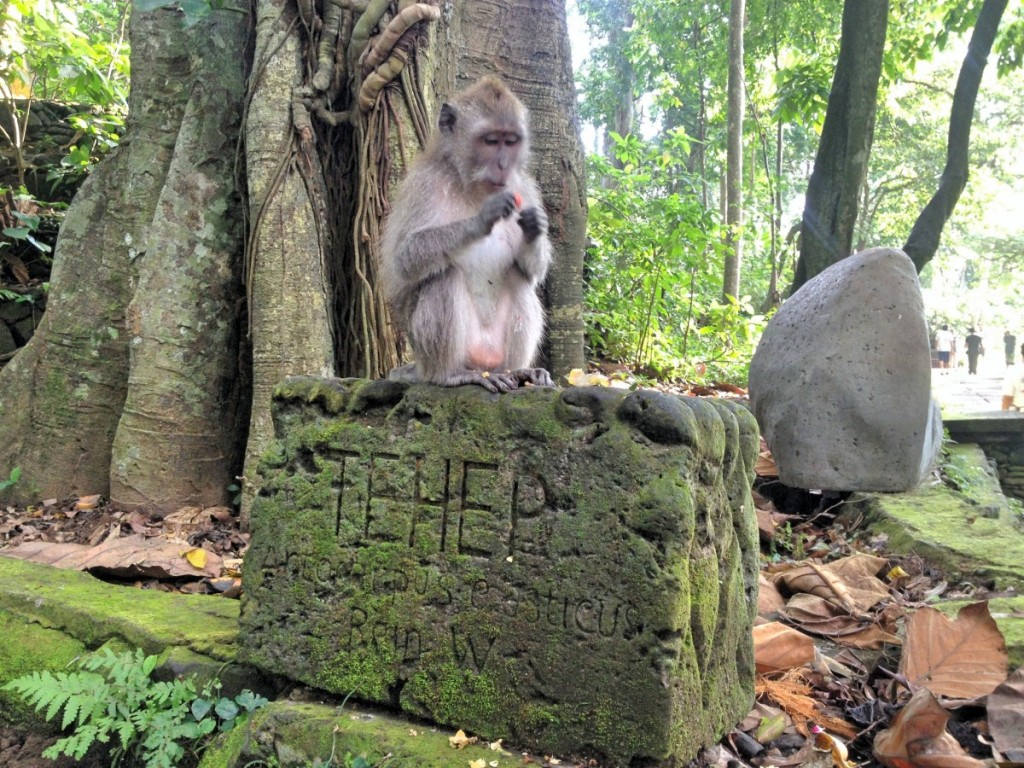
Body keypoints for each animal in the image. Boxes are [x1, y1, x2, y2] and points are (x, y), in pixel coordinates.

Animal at [380, 76, 554, 393]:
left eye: (511, 141)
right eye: (491, 141)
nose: (503, 165)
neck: (474, 186)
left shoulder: (525, 188)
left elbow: (532, 271)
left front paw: (534, 228)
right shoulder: (423, 184)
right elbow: (405, 259)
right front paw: (482, 219)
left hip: (495, 352)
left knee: (518, 278)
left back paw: (519, 370)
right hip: (432, 352)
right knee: (444, 276)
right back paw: (450, 375)